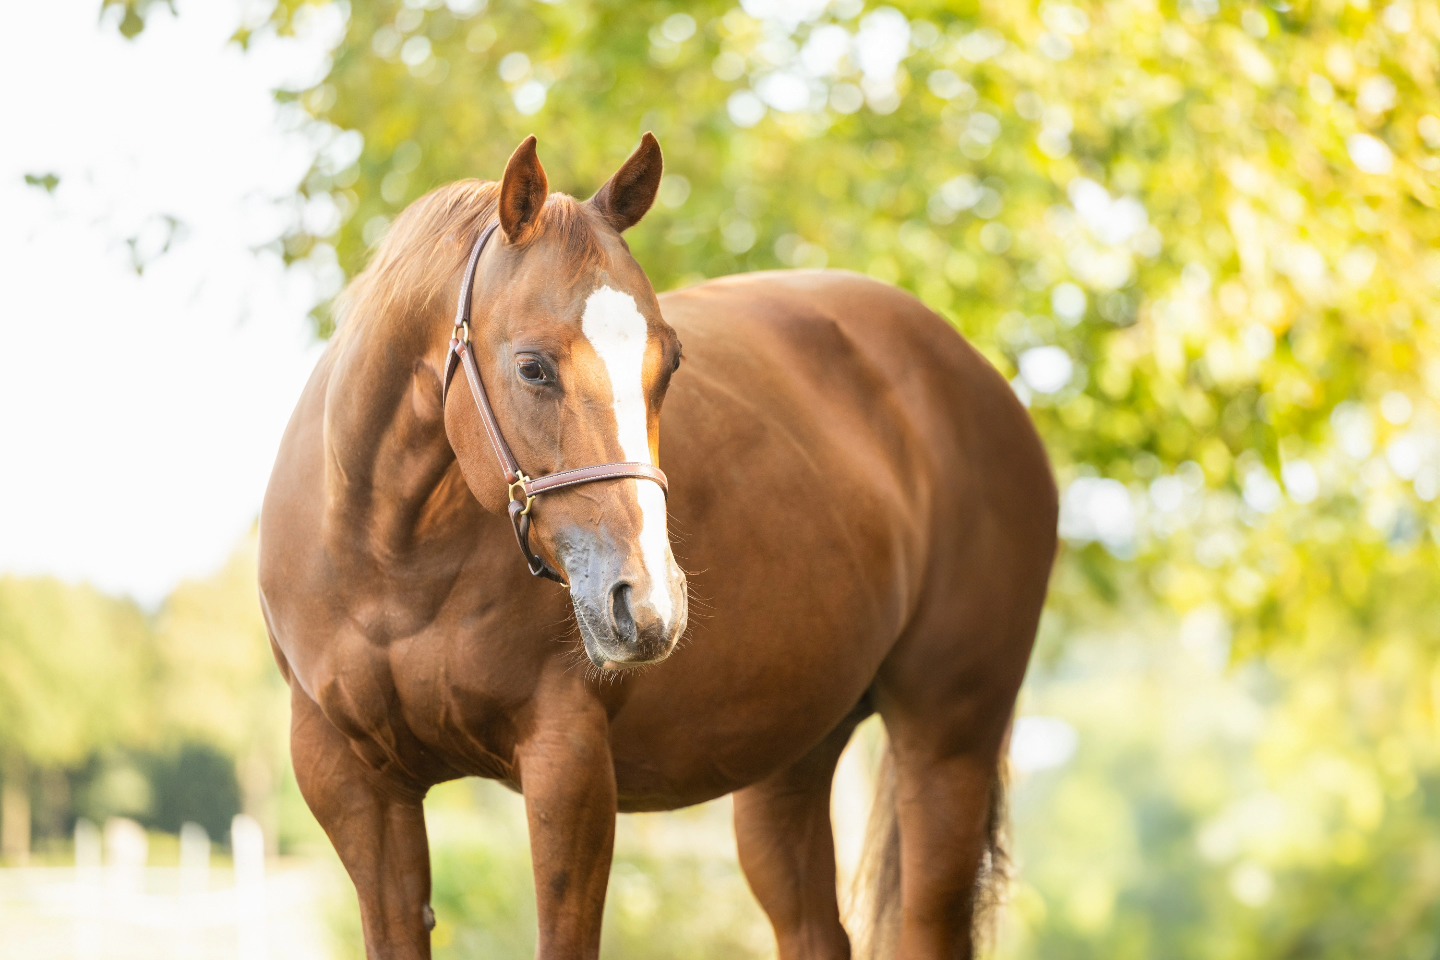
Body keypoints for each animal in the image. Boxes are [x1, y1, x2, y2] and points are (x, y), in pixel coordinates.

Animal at [258, 133, 1057, 960]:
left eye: (669, 362)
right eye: (532, 366)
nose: (647, 604)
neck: (389, 563)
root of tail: (977, 378)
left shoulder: (568, 767)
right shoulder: (357, 789)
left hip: (946, 746)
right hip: (789, 763)